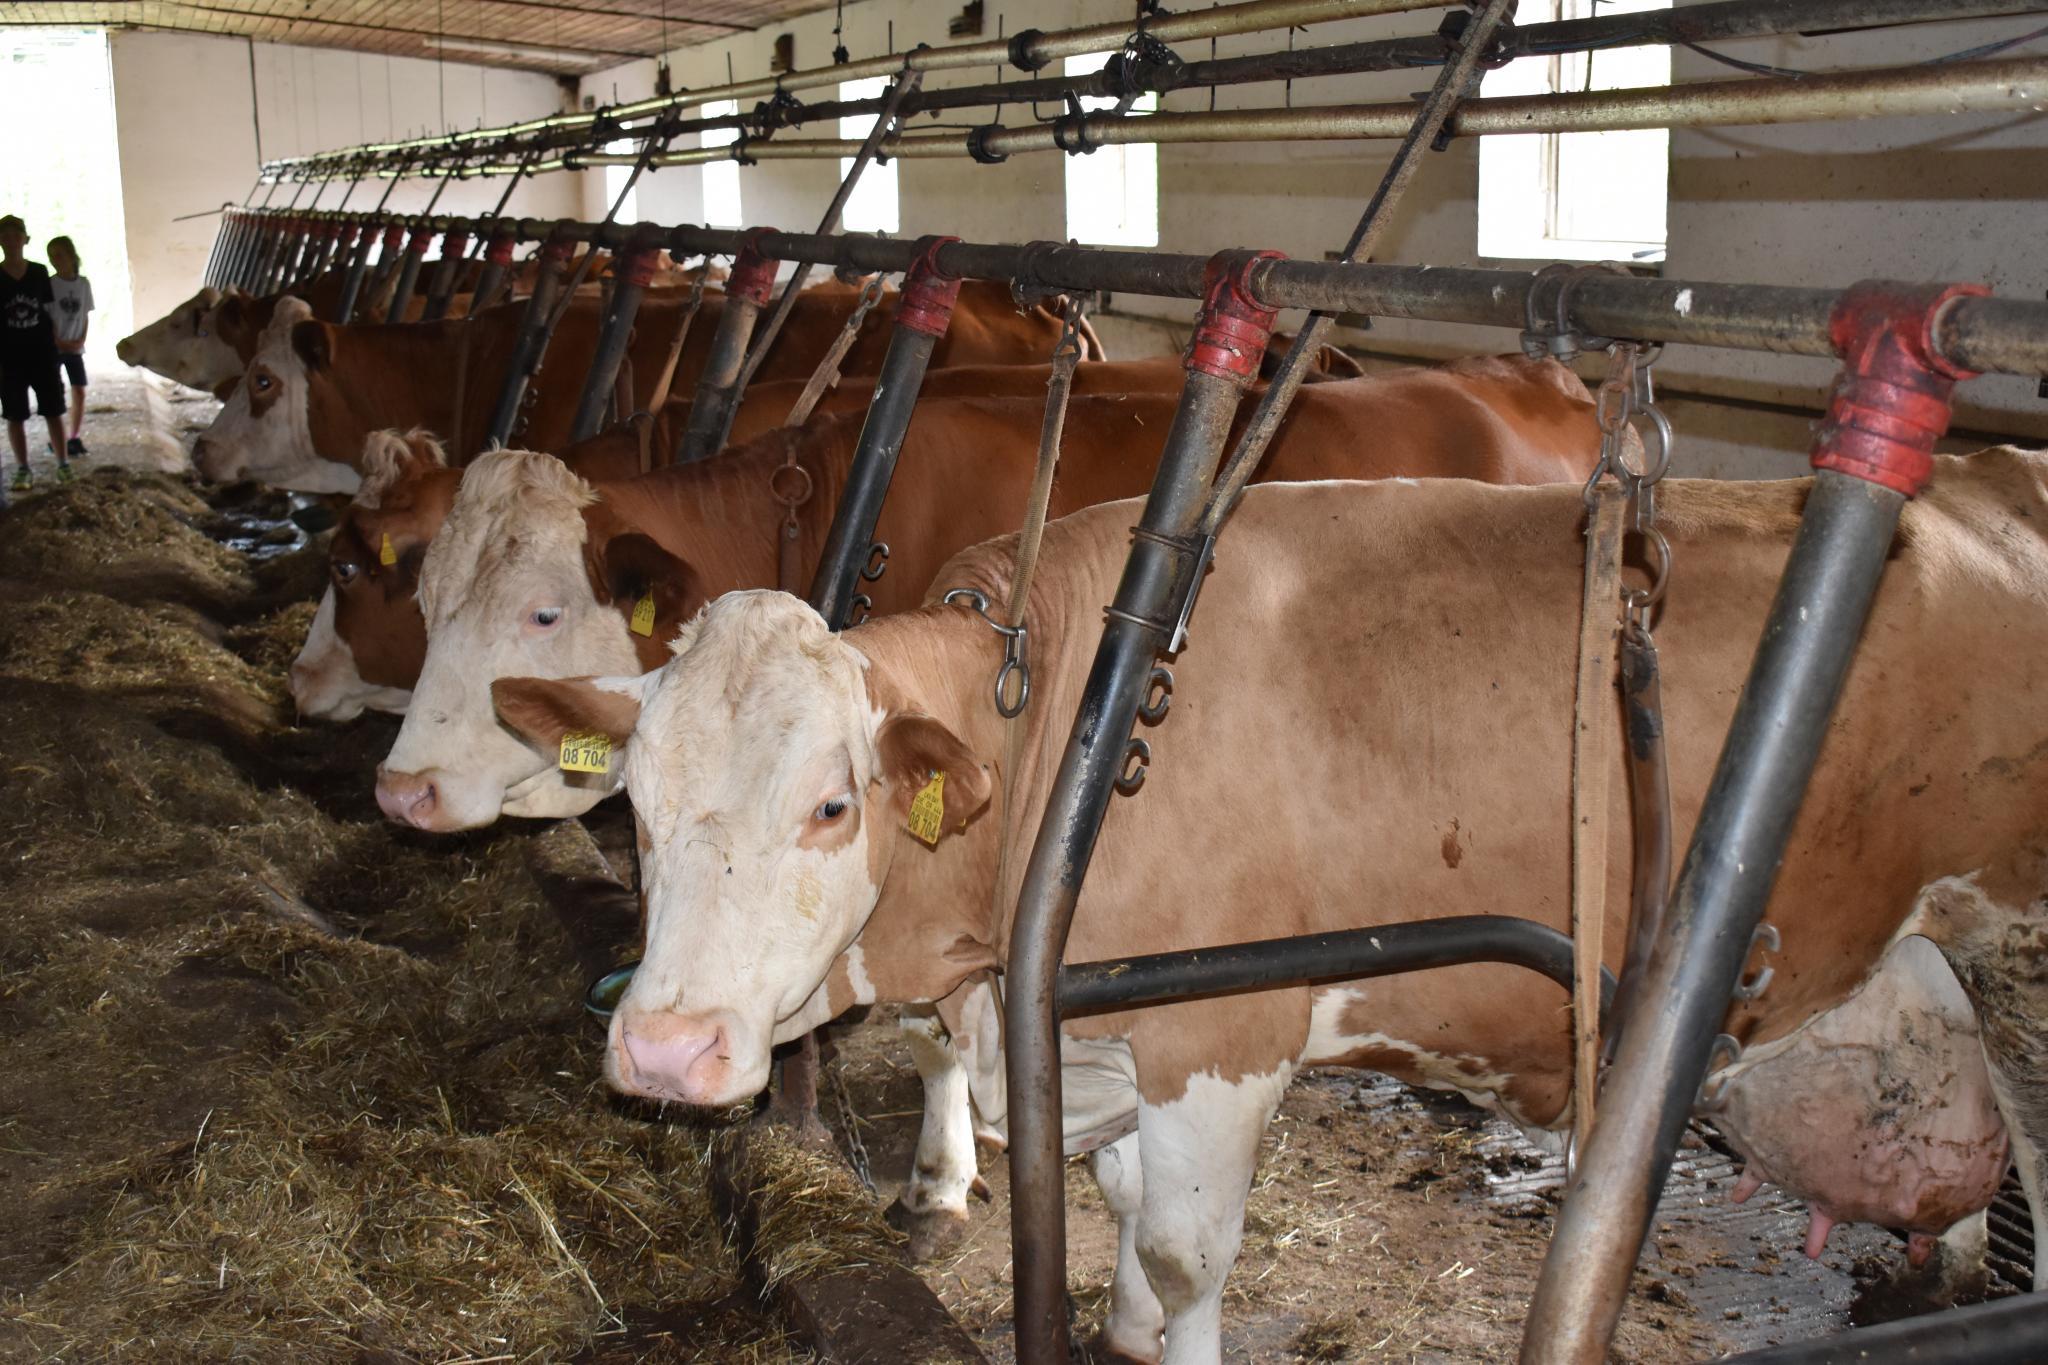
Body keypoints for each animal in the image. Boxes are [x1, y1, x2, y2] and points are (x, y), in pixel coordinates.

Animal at [487, 452, 2048, 1364]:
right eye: (634, 797)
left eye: (831, 804)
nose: (661, 1053)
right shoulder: (1104, 1035)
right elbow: (1124, 1216)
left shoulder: (1218, 1034)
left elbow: (1184, 1258)